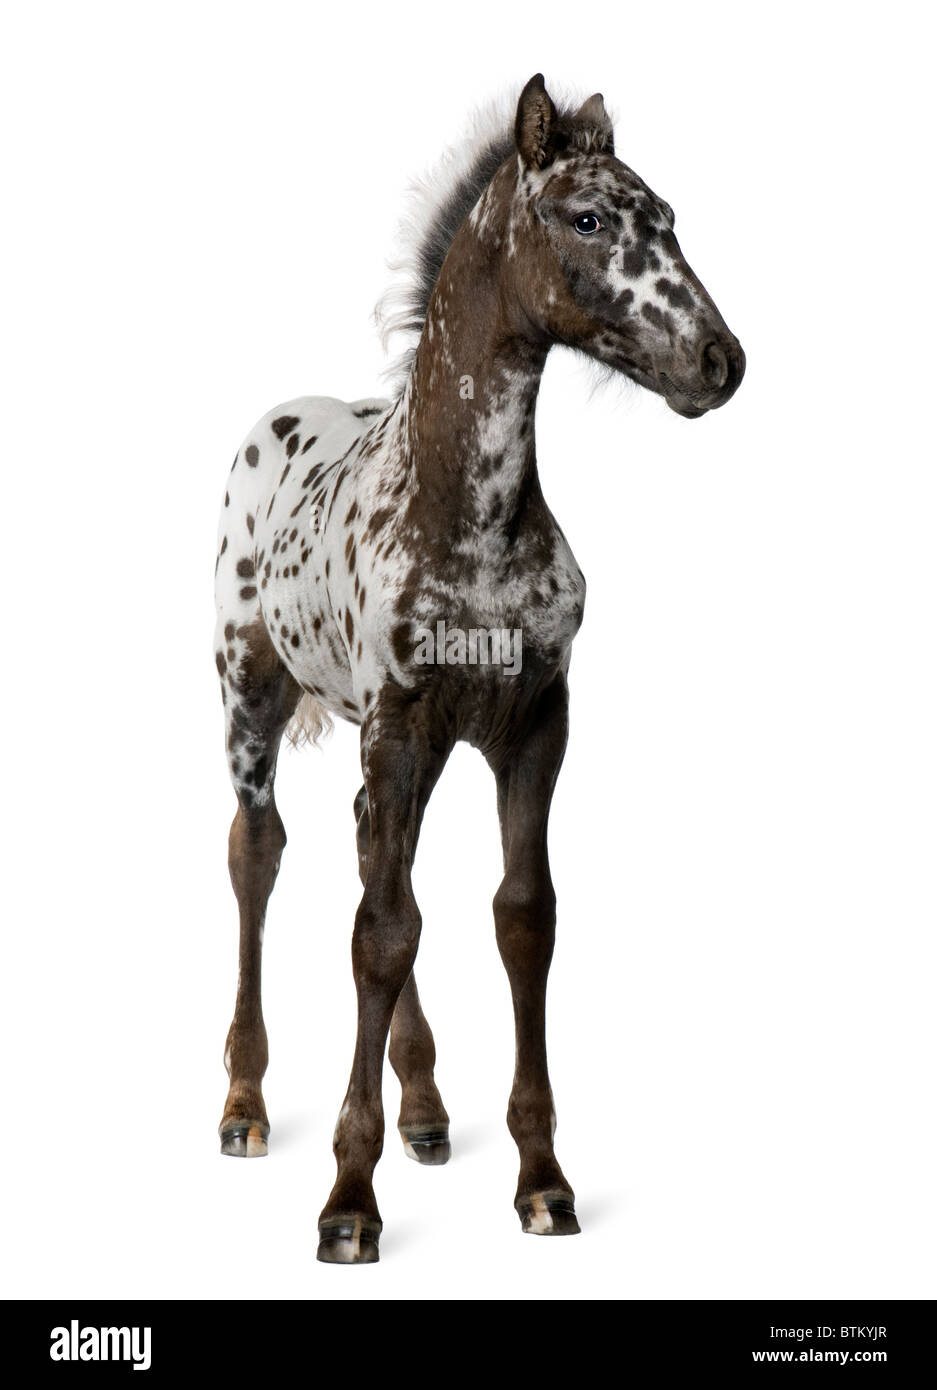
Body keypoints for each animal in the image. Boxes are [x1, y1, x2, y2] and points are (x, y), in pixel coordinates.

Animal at [213, 73, 745, 1264]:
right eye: (586, 218)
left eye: (669, 216)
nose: (720, 362)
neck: (464, 512)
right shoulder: (399, 726)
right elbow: (377, 933)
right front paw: (347, 1204)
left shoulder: (532, 722)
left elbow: (517, 916)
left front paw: (542, 1183)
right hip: (248, 703)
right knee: (259, 855)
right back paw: (244, 1106)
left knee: (375, 861)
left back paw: (422, 1110)